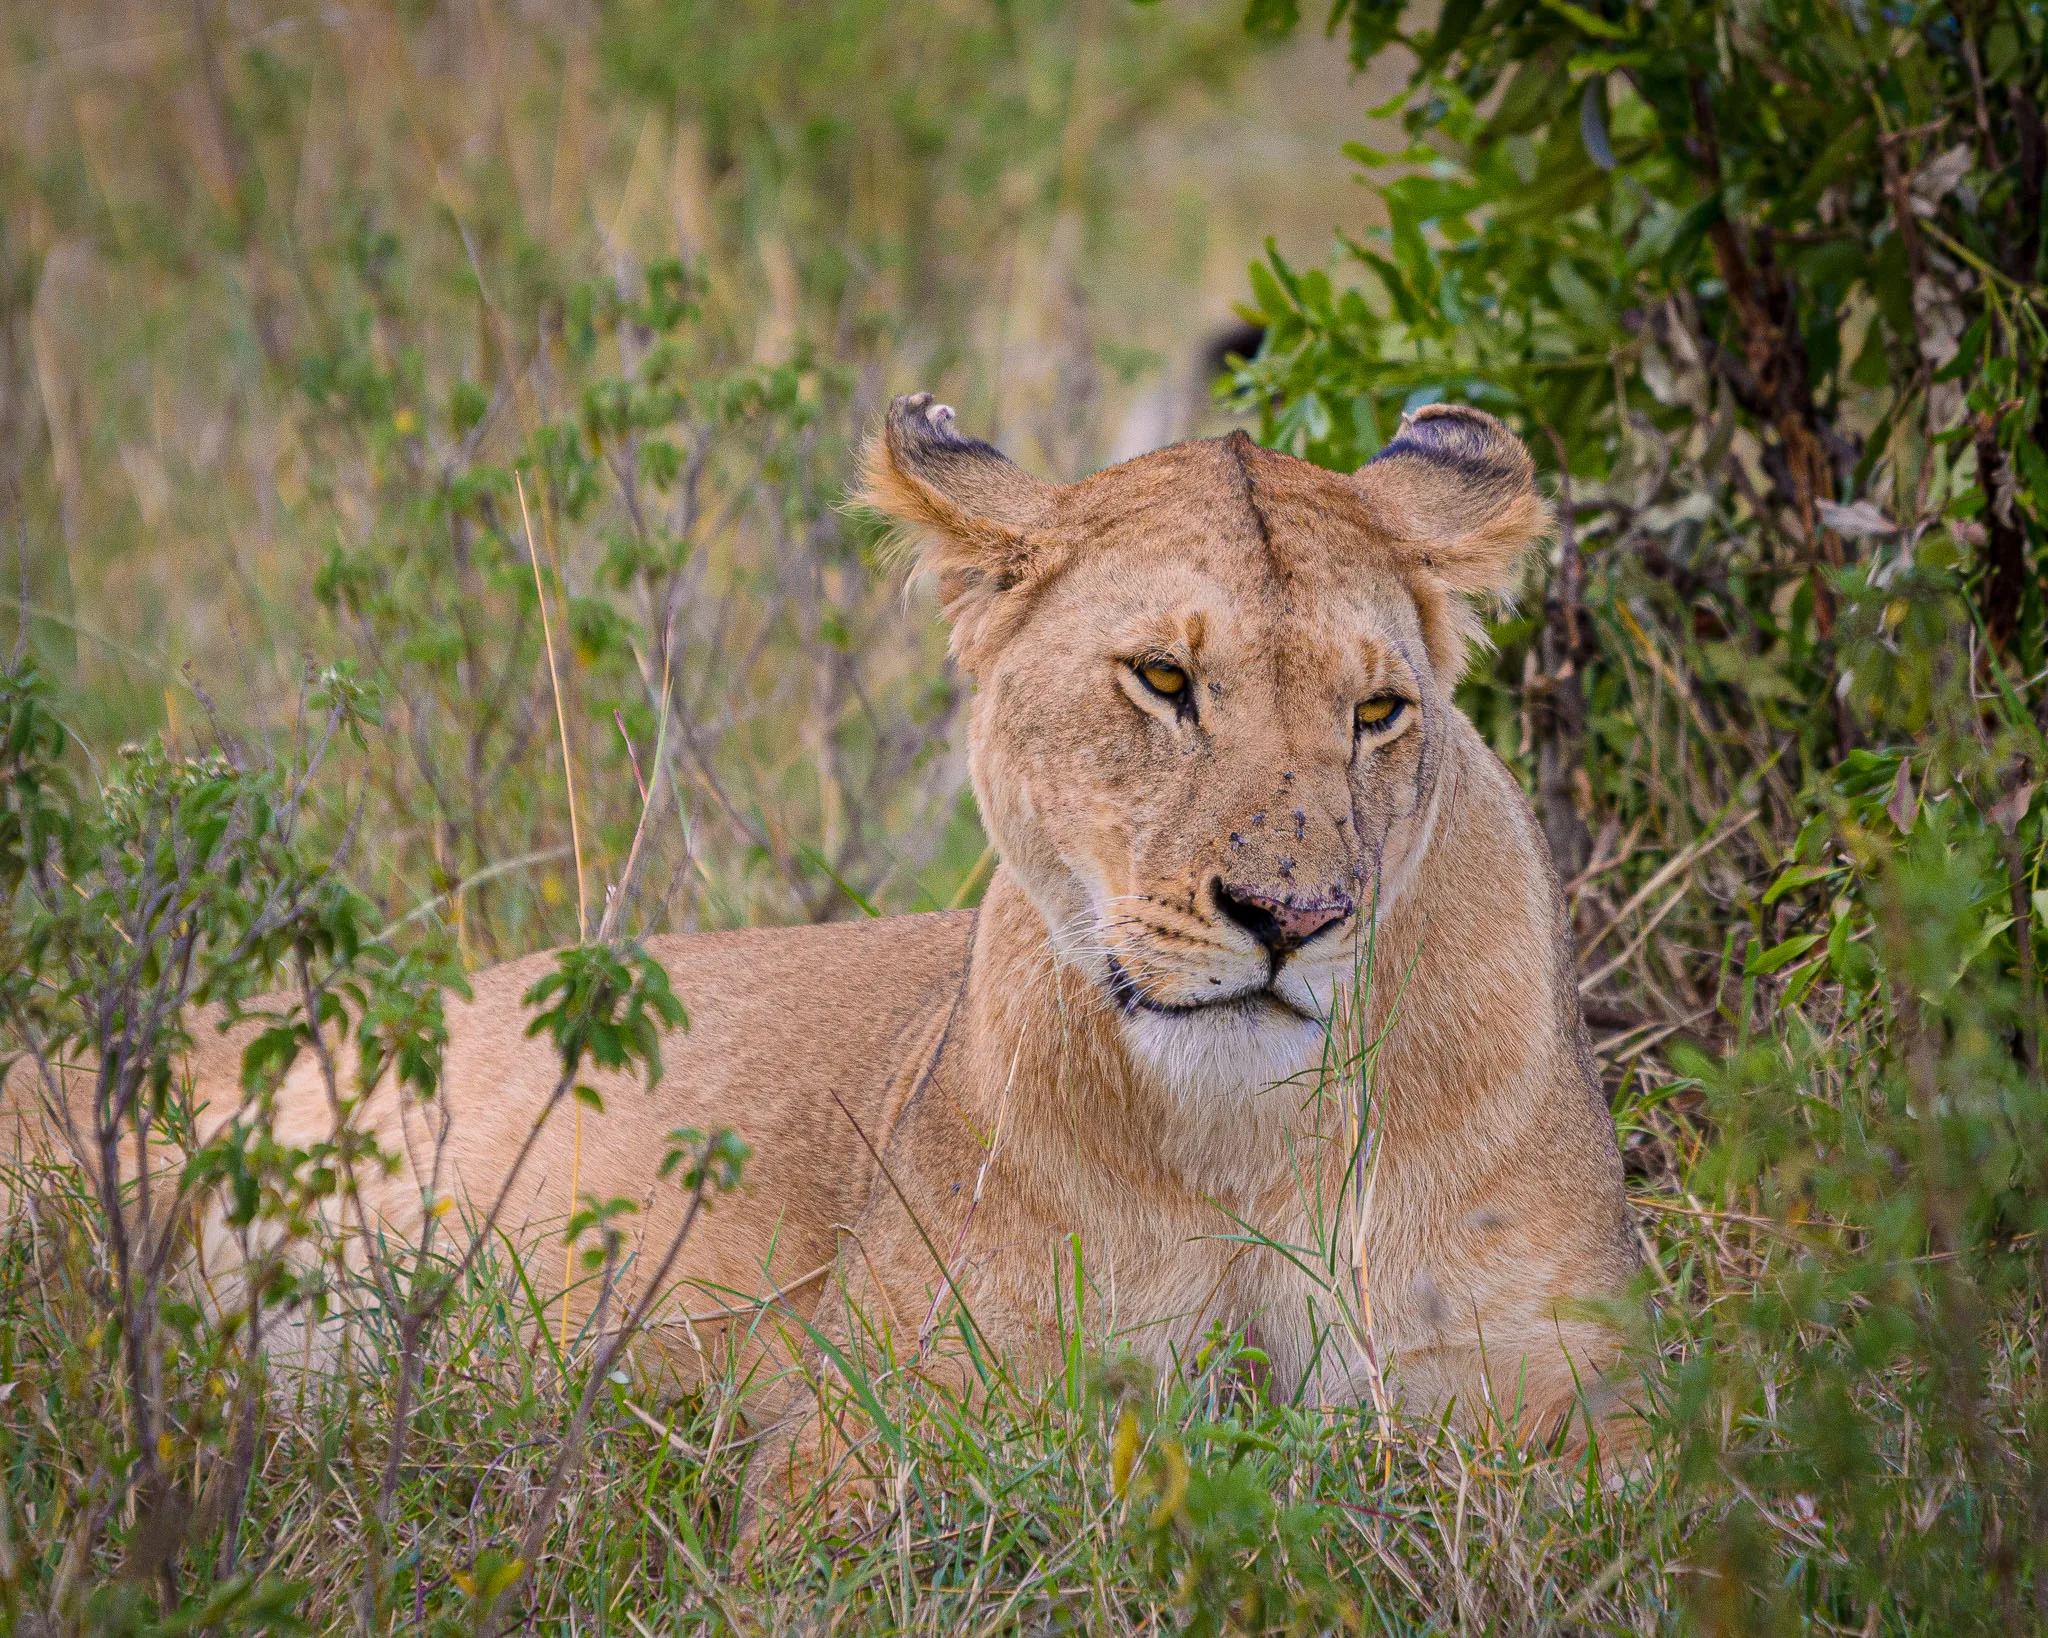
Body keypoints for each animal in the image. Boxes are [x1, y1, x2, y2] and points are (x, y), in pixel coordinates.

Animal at [6, 394, 1639, 1524]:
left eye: (1377, 711)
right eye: (1164, 680)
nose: (1292, 916)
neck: (1243, 1139)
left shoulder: (1573, 1393)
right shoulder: (869, 1430)